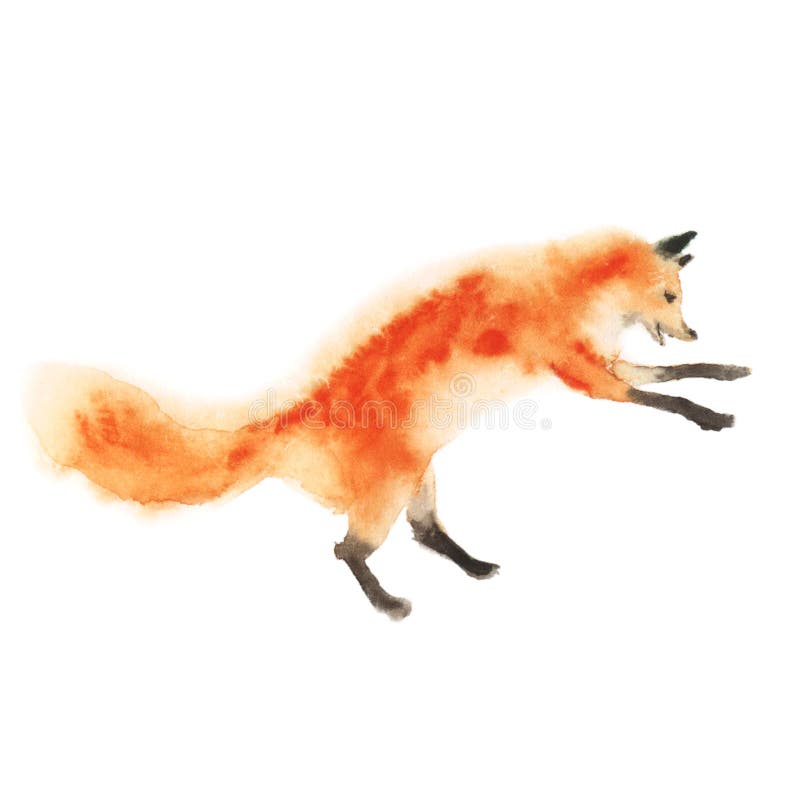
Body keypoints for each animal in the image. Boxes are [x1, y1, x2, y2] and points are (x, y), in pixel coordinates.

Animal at [27, 229, 751, 618]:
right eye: (670, 296)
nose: (691, 327)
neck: (567, 289)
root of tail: (294, 413)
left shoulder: (607, 362)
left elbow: (684, 375)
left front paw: (727, 371)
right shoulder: (589, 376)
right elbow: (668, 402)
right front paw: (710, 416)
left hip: (419, 480)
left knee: (425, 532)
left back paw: (475, 567)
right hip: (384, 499)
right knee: (346, 550)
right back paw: (388, 605)